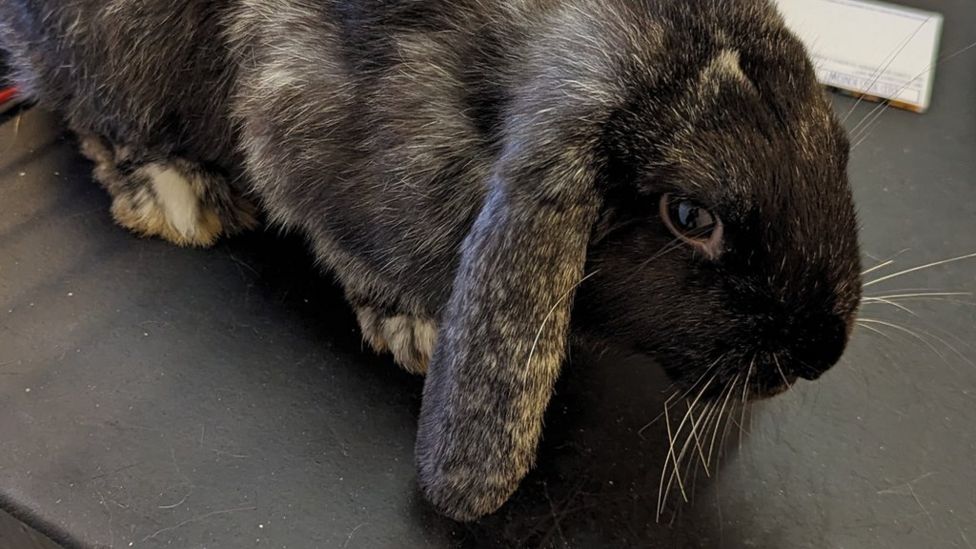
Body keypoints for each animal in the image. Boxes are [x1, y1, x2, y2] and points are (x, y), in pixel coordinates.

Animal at [0, 0, 862, 521]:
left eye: (836, 143)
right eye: (690, 216)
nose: (821, 352)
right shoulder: (294, 113)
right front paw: (414, 328)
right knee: (91, 111)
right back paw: (178, 191)